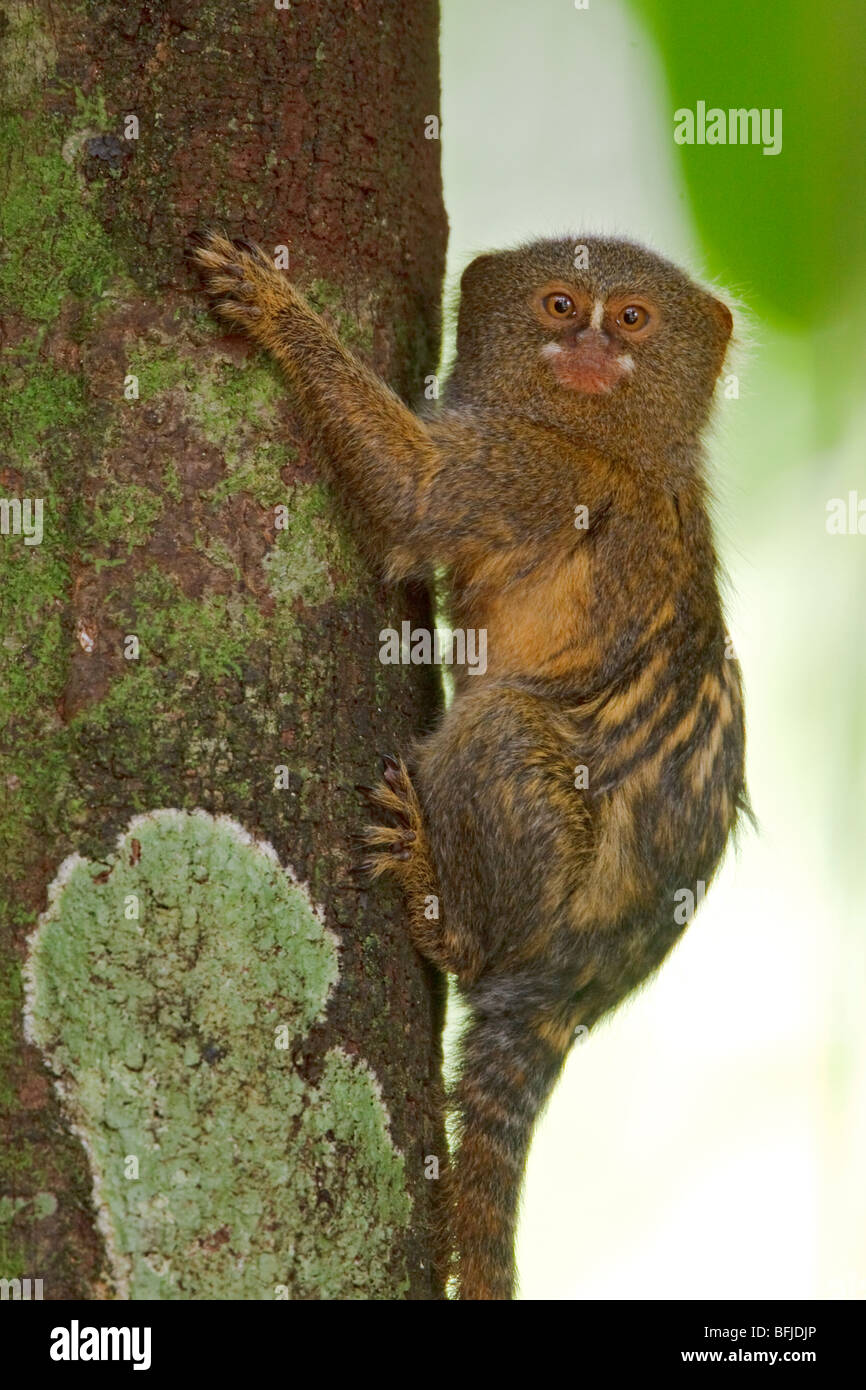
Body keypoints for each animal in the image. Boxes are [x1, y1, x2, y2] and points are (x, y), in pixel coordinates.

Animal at [192, 230, 749, 1301]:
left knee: (501, 727)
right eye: (560, 303)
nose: (590, 346)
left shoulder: (538, 474)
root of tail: (572, 993)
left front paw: (280, 311)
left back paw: (437, 905)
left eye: (632, 320)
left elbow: (418, 498)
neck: (613, 441)